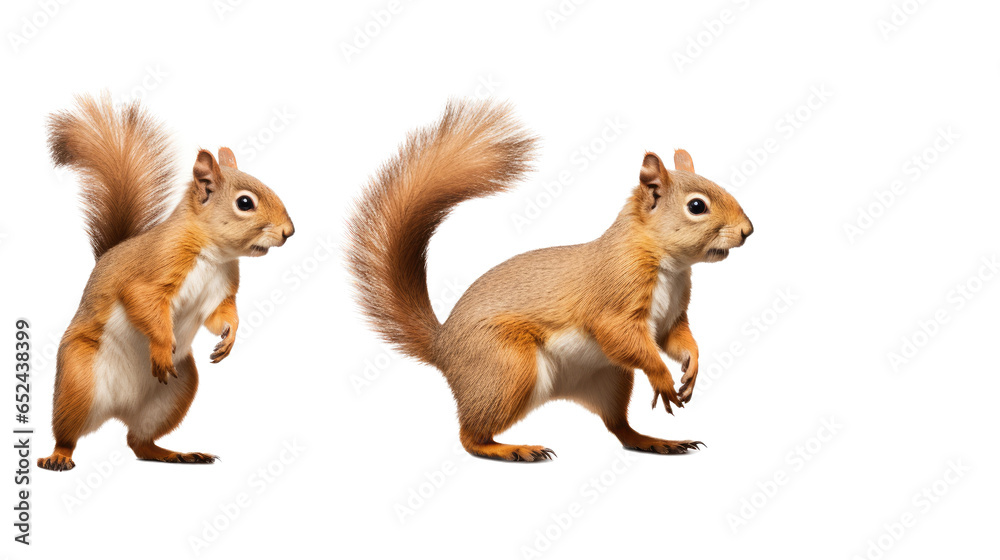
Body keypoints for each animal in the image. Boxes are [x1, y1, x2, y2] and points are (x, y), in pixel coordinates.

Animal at [37, 94, 295, 471]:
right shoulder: (153, 273)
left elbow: (221, 315)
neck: (212, 254)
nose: (289, 232)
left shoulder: (220, 292)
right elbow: (143, 303)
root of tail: (119, 407)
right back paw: (58, 456)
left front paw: (229, 337)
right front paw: (160, 346)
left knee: (139, 442)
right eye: (245, 203)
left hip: (176, 391)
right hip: (78, 381)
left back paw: (177, 454)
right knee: (68, 431)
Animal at [347, 100, 753, 461]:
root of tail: (442, 346)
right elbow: (621, 335)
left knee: (619, 428)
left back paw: (654, 441)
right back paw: (511, 449)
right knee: (469, 436)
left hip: (611, 378)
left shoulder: (672, 314)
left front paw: (692, 365)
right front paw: (664, 378)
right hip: (507, 366)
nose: (748, 231)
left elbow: (676, 339)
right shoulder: (615, 295)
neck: (669, 265)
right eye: (697, 206)